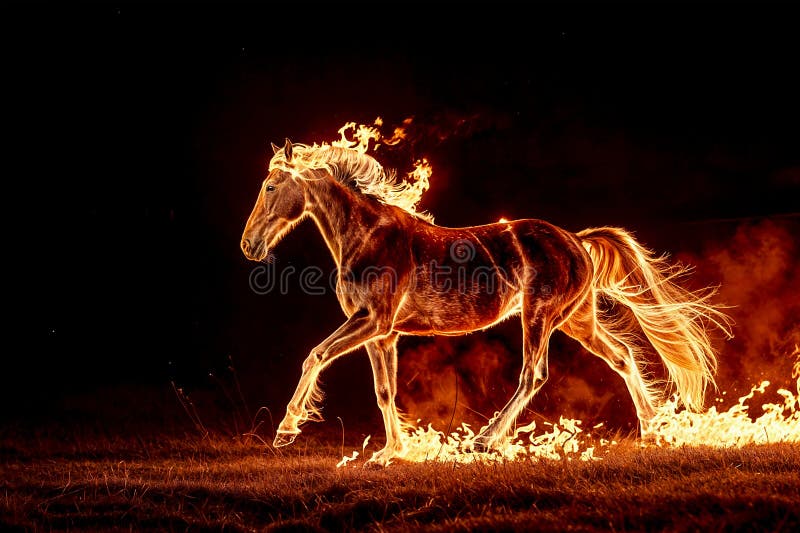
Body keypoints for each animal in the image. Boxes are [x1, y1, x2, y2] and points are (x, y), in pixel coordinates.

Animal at [240, 139, 730, 466]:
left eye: (270, 187)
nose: (248, 245)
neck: (370, 235)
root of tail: (577, 239)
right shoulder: (382, 335)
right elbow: (384, 392)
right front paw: (391, 453)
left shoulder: (373, 322)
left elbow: (315, 355)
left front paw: (286, 430)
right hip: (577, 320)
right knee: (623, 356)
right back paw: (652, 430)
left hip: (539, 316)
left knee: (534, 374)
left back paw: (485, 440)